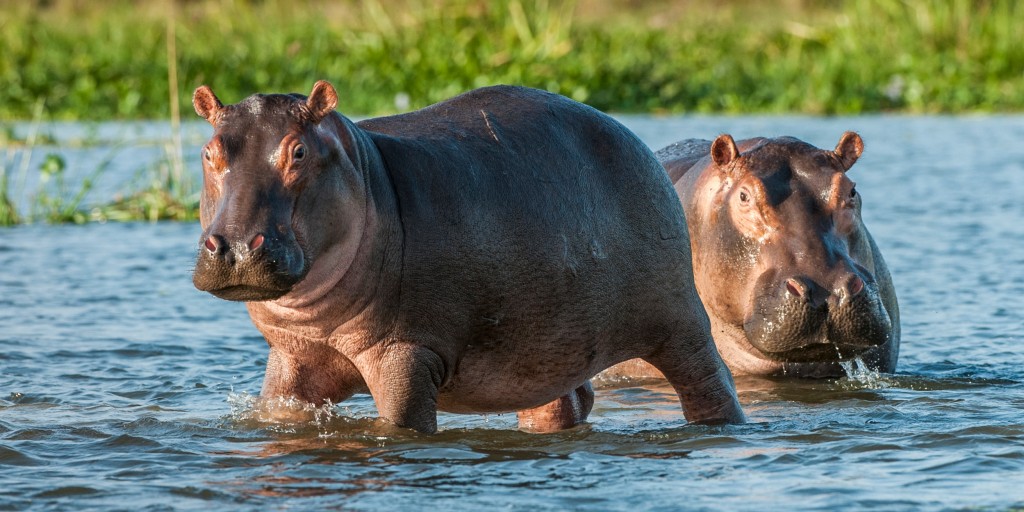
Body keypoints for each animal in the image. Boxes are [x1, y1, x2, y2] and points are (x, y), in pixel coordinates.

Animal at [190, 80, 745, 433]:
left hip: (679, 322)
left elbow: (402, 425)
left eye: (299, 151)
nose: (235, 246)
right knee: (563, 402)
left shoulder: (406, 353)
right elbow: (280, 412)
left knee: (709, 382)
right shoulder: (292, 356)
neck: (365, 172)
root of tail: (636, 140)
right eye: (209, 152)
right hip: (546, 347)